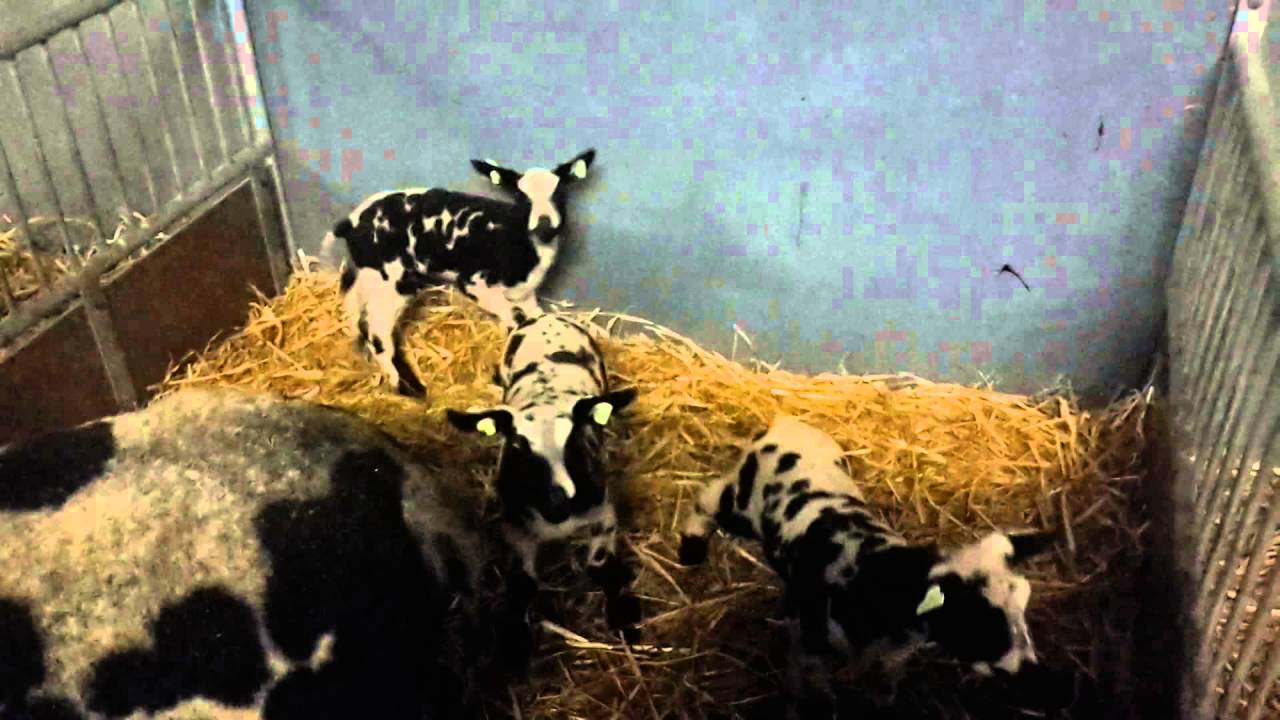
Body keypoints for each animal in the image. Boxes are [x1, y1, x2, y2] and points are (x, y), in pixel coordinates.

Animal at [328, 149, 596, 397]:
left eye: (559, 193)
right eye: (522, 197)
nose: (544, 226)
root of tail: (352, 221)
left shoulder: (526, 295)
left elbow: (534, 321)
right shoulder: (474, 283)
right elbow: (514, 323)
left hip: (368, 274)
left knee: (353, 307)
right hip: (392, 280)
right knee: (378, 331)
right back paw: (408, 387)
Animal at [446, 311, 641, 660]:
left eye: (575, 442)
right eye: (518, 447)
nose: (559, 503)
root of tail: (545, 316)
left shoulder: (604, 514)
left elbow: (601, 566)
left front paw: (624, 619)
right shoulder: (515, 528)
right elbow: (523, 584)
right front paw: (515, 646)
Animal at [677, 416, 1055, 718]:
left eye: (1023, 607)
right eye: (980, 619)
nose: (1035, 678)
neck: (874, 575)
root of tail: (782, 424)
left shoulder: (891, 659)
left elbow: (879, 693)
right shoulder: (809, 645)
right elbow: (810, 694)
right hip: (739, 502)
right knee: (708, 498)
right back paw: (691, 548)